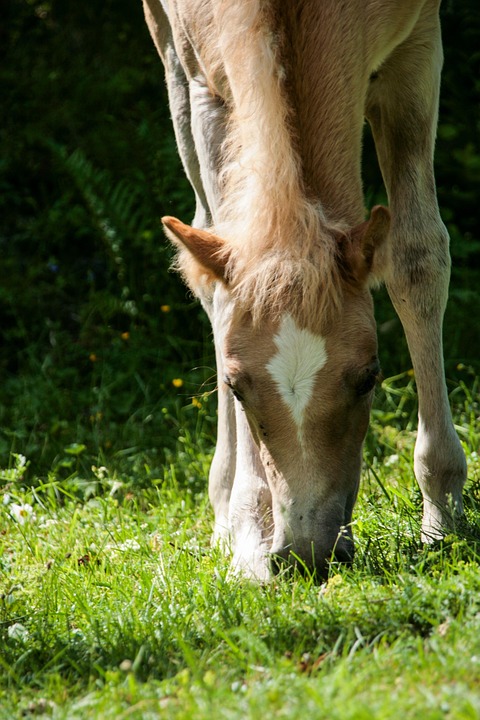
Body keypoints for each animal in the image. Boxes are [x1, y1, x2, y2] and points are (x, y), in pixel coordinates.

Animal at [143, 0, 466, 580]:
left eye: (369, 379)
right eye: (234, 386)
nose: (308, 552)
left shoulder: (417, 46)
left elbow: (418, 255)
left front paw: (444, 514)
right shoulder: (206, 86)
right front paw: (249, 537)